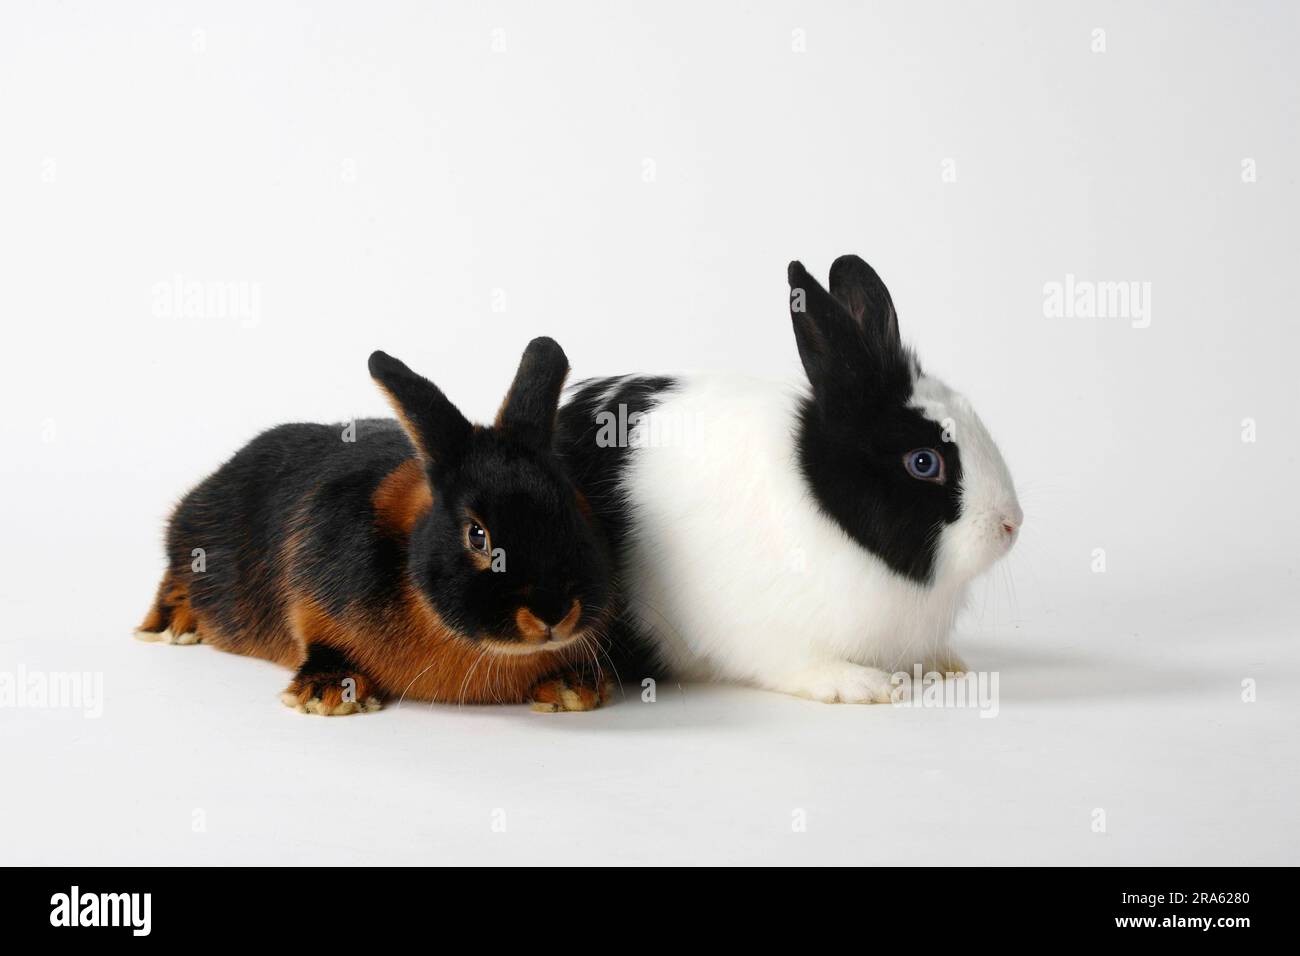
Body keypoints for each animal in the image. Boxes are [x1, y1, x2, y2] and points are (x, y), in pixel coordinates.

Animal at [136, 337, 619, 715]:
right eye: (476, 534)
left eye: (574, 510)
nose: (553, 612)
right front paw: (329, 693)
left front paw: (572, 688)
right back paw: (173, 626)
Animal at [555, 255, 1023, 703]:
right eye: (923, 462)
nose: (1011, 524)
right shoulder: (771, 638)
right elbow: (804, 665)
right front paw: (867, 686)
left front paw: (948, 665)